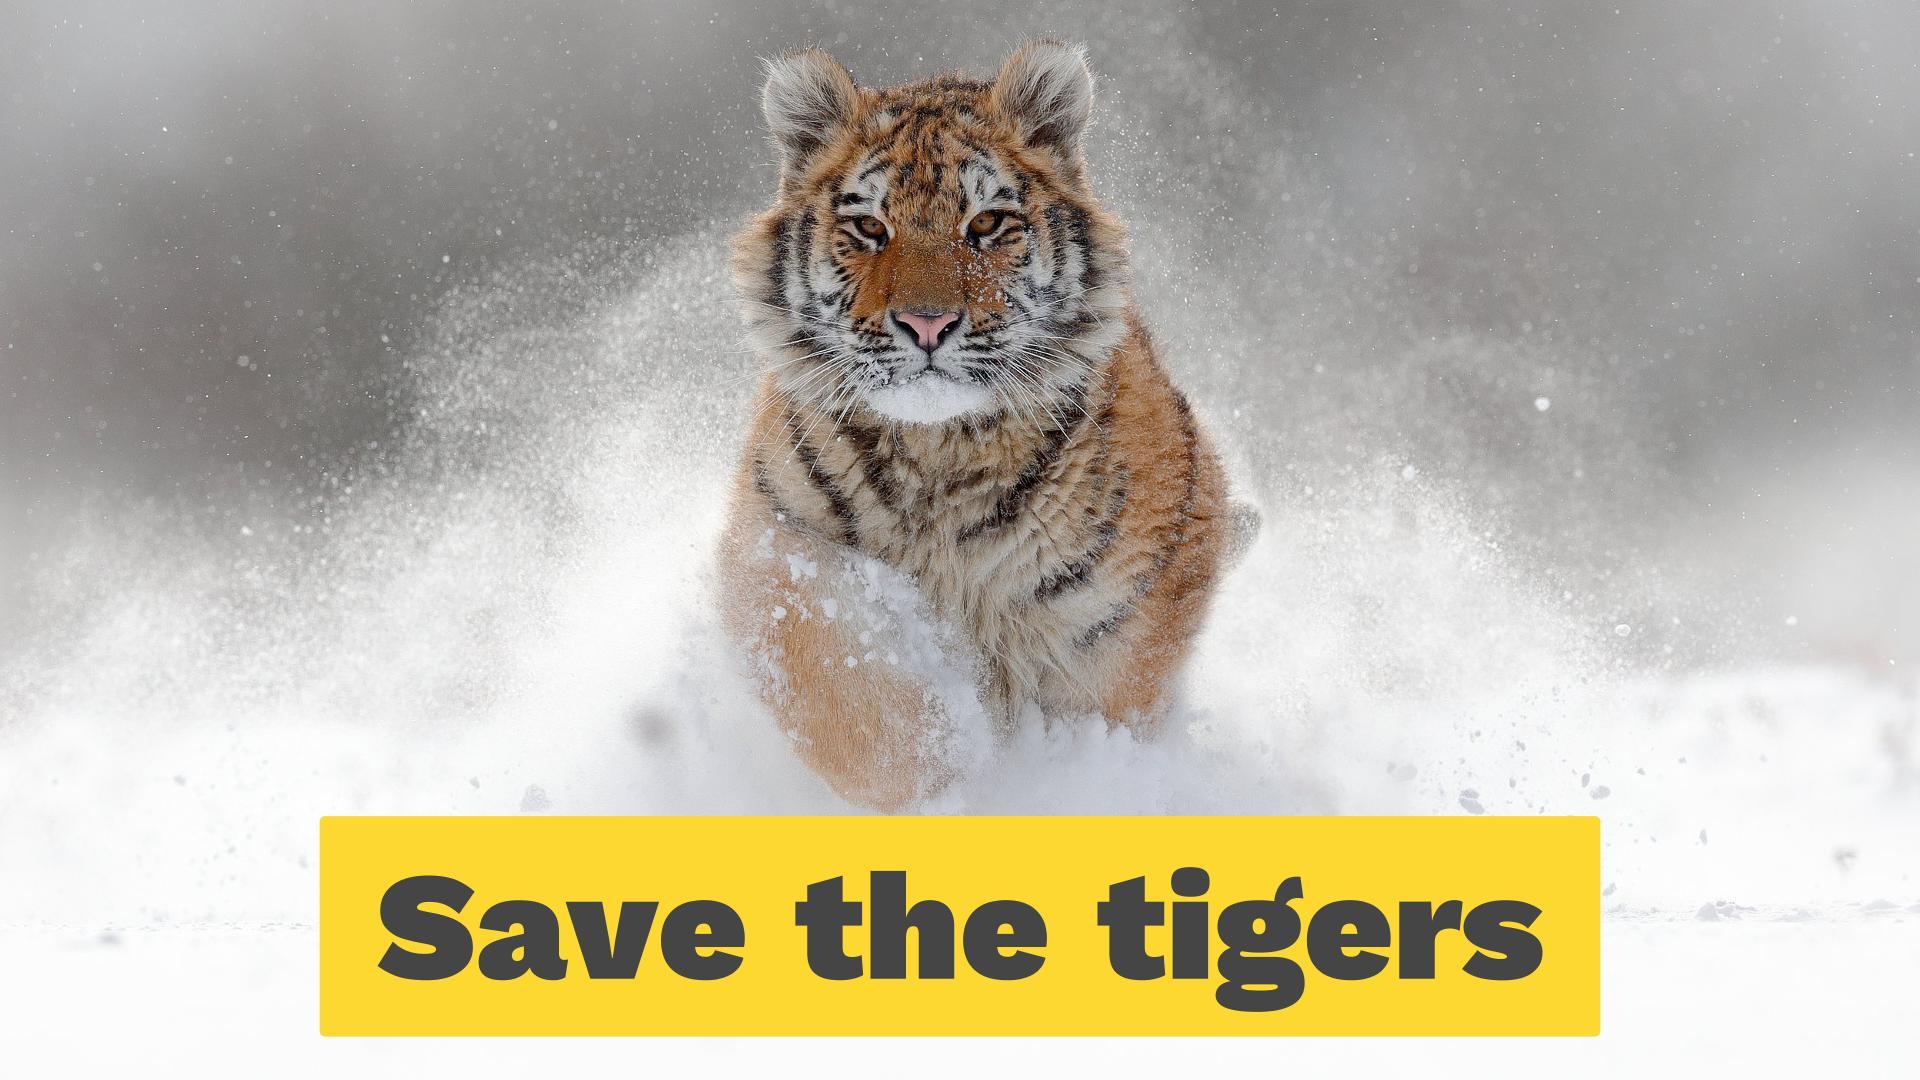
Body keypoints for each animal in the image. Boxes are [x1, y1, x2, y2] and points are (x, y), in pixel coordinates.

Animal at [717, 41, 1240, 809]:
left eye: (987, 224)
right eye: (869, 228)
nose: (927, 323)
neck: (940, 454)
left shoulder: (1122, 614)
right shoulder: (778, 550)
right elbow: (850, 702)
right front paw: (942, 775)